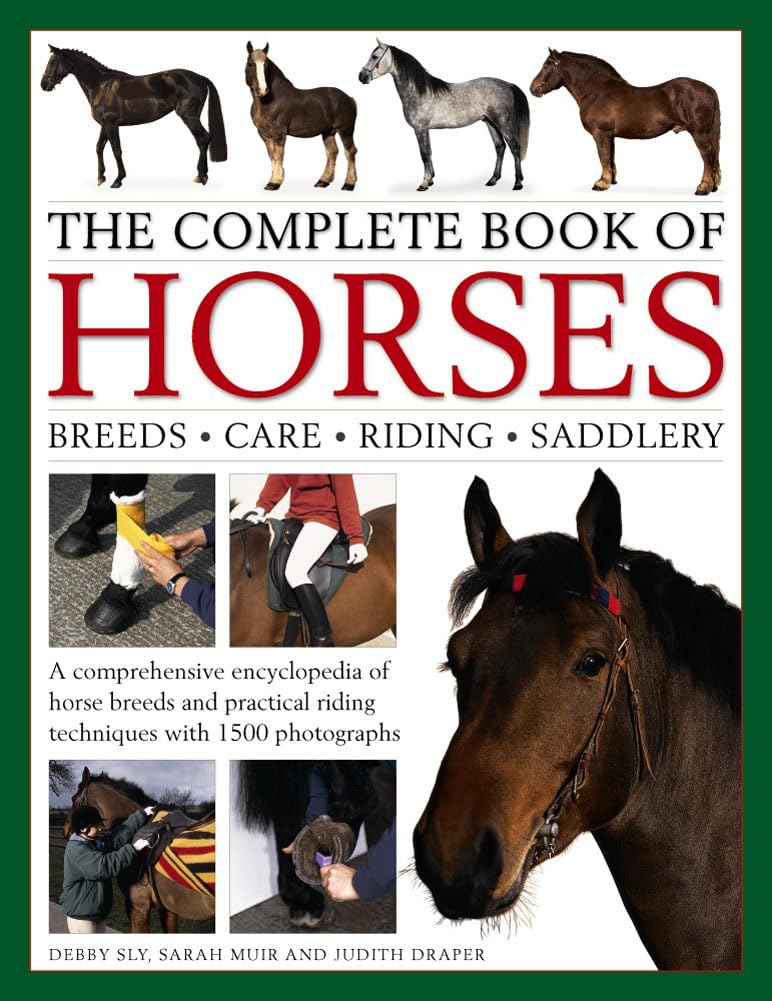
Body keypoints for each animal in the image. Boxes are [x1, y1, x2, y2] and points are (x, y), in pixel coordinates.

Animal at [40, 45, 227, 188]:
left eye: (53, 61)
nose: (43, 85)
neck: (101, 86)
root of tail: (200, 78)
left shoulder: (111, 124)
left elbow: (116, 149)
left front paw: (118, 180)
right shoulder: (104, 125)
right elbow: (99, 147)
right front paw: (101, 178)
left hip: (189, 117)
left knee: (203, 139)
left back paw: (201, 176)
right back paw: (202, 175)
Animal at [245, 42, 358, 191]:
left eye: (266, 65)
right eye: (250, 64)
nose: (262, 90)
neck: (268, 102)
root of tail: (350, 98)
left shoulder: (279, 133)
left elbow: (278, 155)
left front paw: (274, 182)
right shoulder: (264, 134)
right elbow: (272, 156)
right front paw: (273, 180)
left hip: (345, 130)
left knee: (350, 152)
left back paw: (349, 184)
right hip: (328, 131)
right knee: (332, 152)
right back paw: (323, 181)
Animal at [358, 40, 529, 191]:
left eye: (374, 56)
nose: (361, 76)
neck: (419, 92)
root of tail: (509, 85)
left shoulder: (420, 129)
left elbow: (425, 154)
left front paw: (424, 183)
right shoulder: (423, 130)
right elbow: (428, 152)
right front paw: (431, 179)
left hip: (503, 123)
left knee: (515, 147)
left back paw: (518, 183)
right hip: (490, 122)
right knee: (500, 147)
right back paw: (493, 180)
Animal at [530, 49, 721, 195]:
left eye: (546, 66)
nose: (533, 88)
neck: (597, 91)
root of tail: (709, 89)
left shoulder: (600, 133)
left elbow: (603, 156)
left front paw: (601, 183)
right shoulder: (610, 135)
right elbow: (610, 156)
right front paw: (611, 180)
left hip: (698, 133)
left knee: (707, 154)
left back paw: (703, 187)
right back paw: (713, 185)